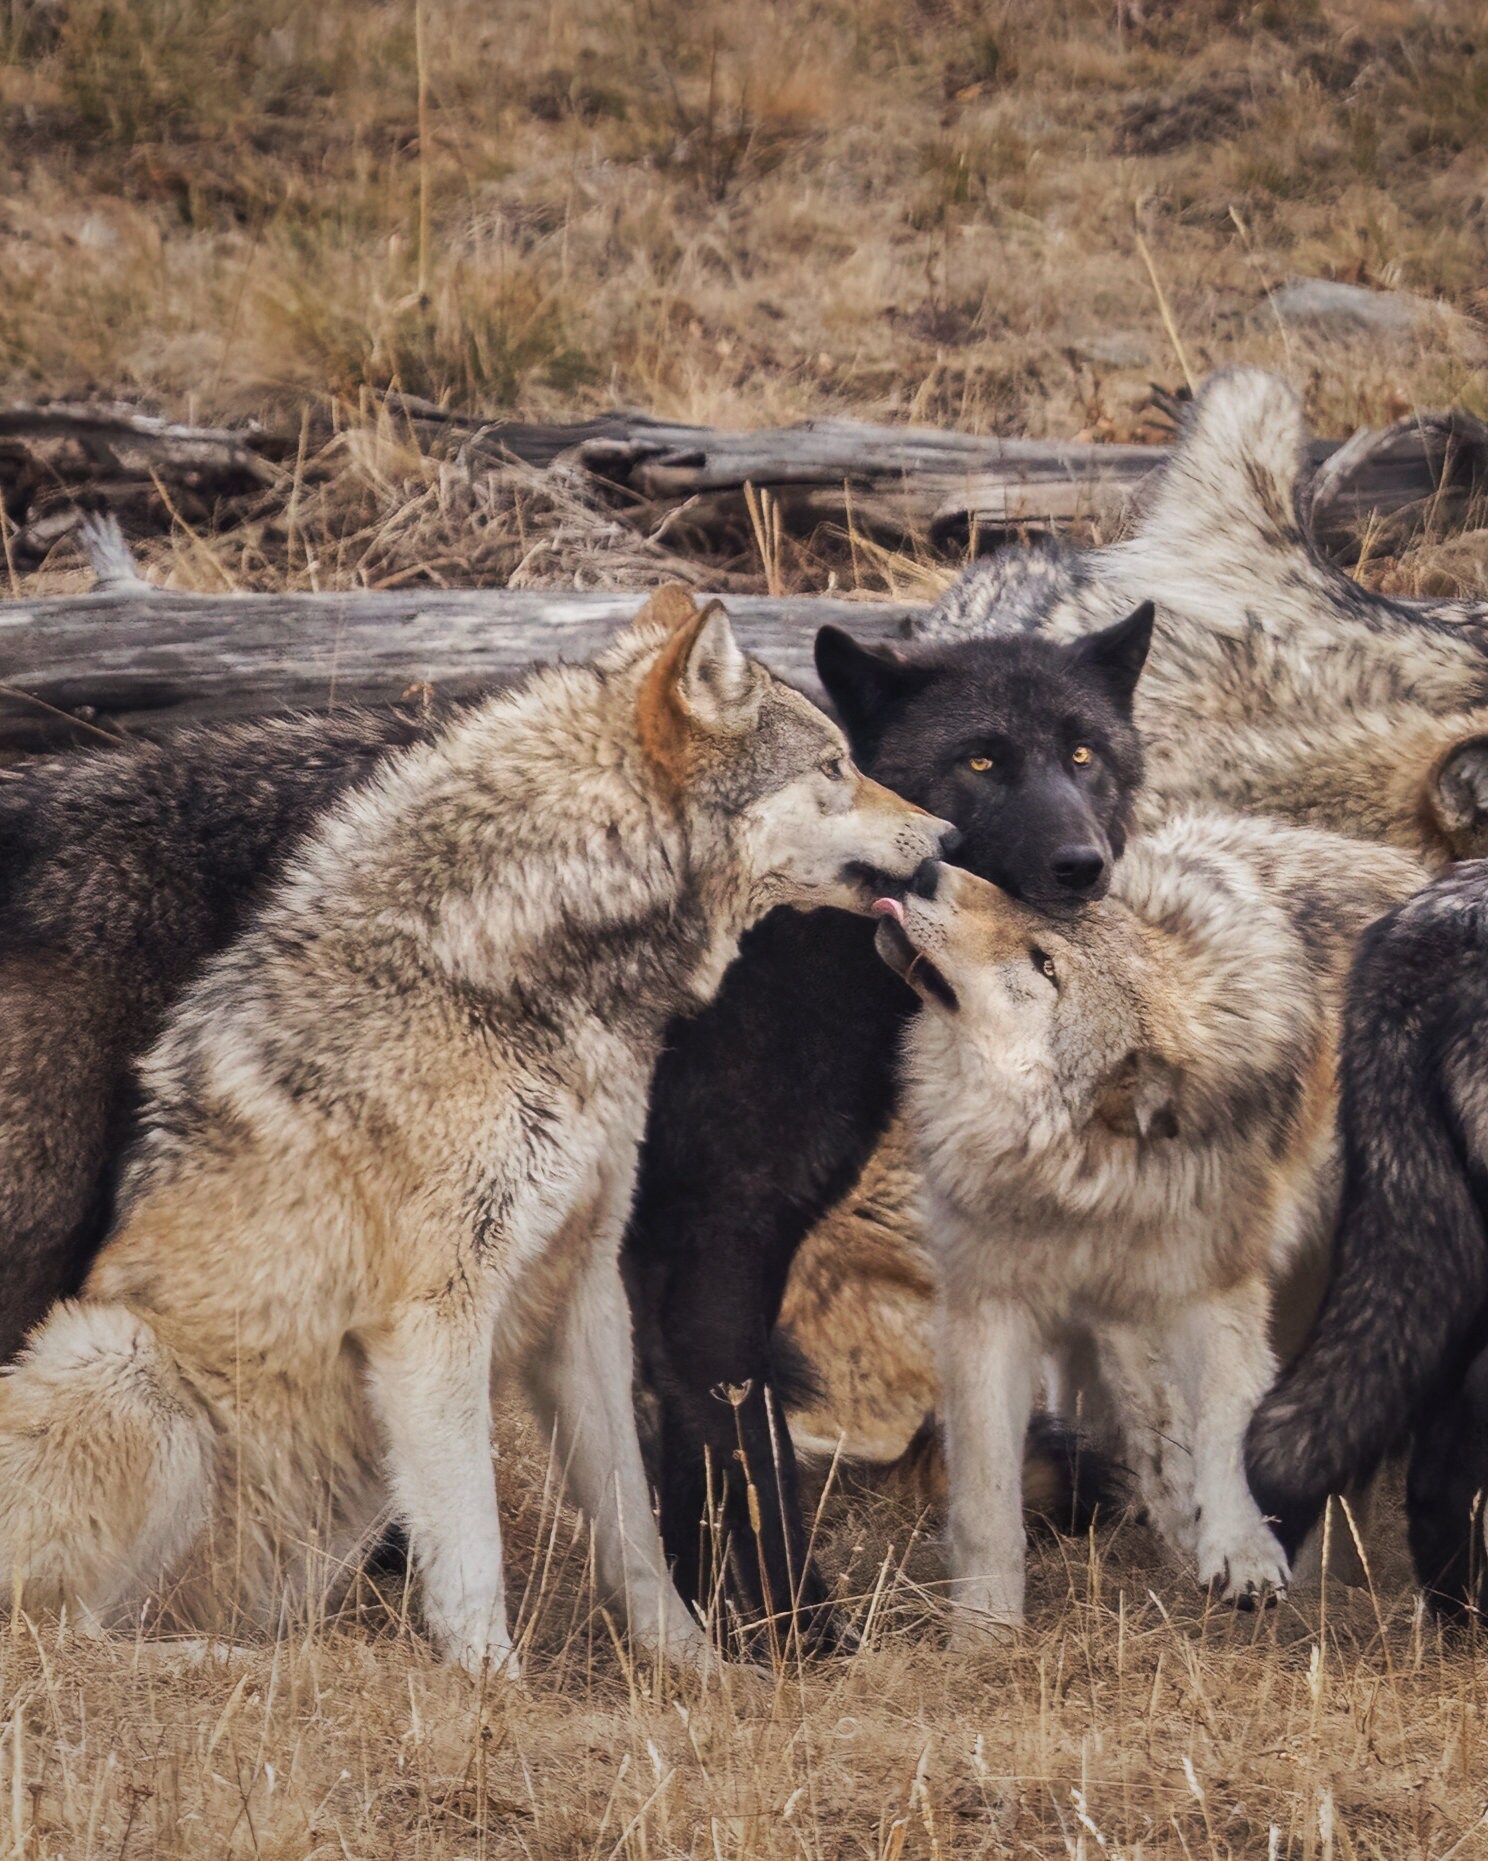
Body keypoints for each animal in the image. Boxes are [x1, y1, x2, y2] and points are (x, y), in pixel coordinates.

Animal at [0, 592, 951, 1672]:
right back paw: (240, 1665)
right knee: (53, 1639)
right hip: (114, 1355)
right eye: (833, 767)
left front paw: (697, 1668)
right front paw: (491, 1680)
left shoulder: (586, 1288)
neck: (520, 973)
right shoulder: (437, 1310)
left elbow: (631, 1524)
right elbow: (473, 1542)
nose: (948, 835)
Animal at [874, 814, 1424, 1636]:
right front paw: (984, 1630)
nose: (930, 871)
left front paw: (1242, 1554)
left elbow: (1228, 1416)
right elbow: (986, 1501)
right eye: (1021, 903)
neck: (1078, 1179)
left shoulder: (1213, 1292)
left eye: (1045, 964)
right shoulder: (988, 1307)